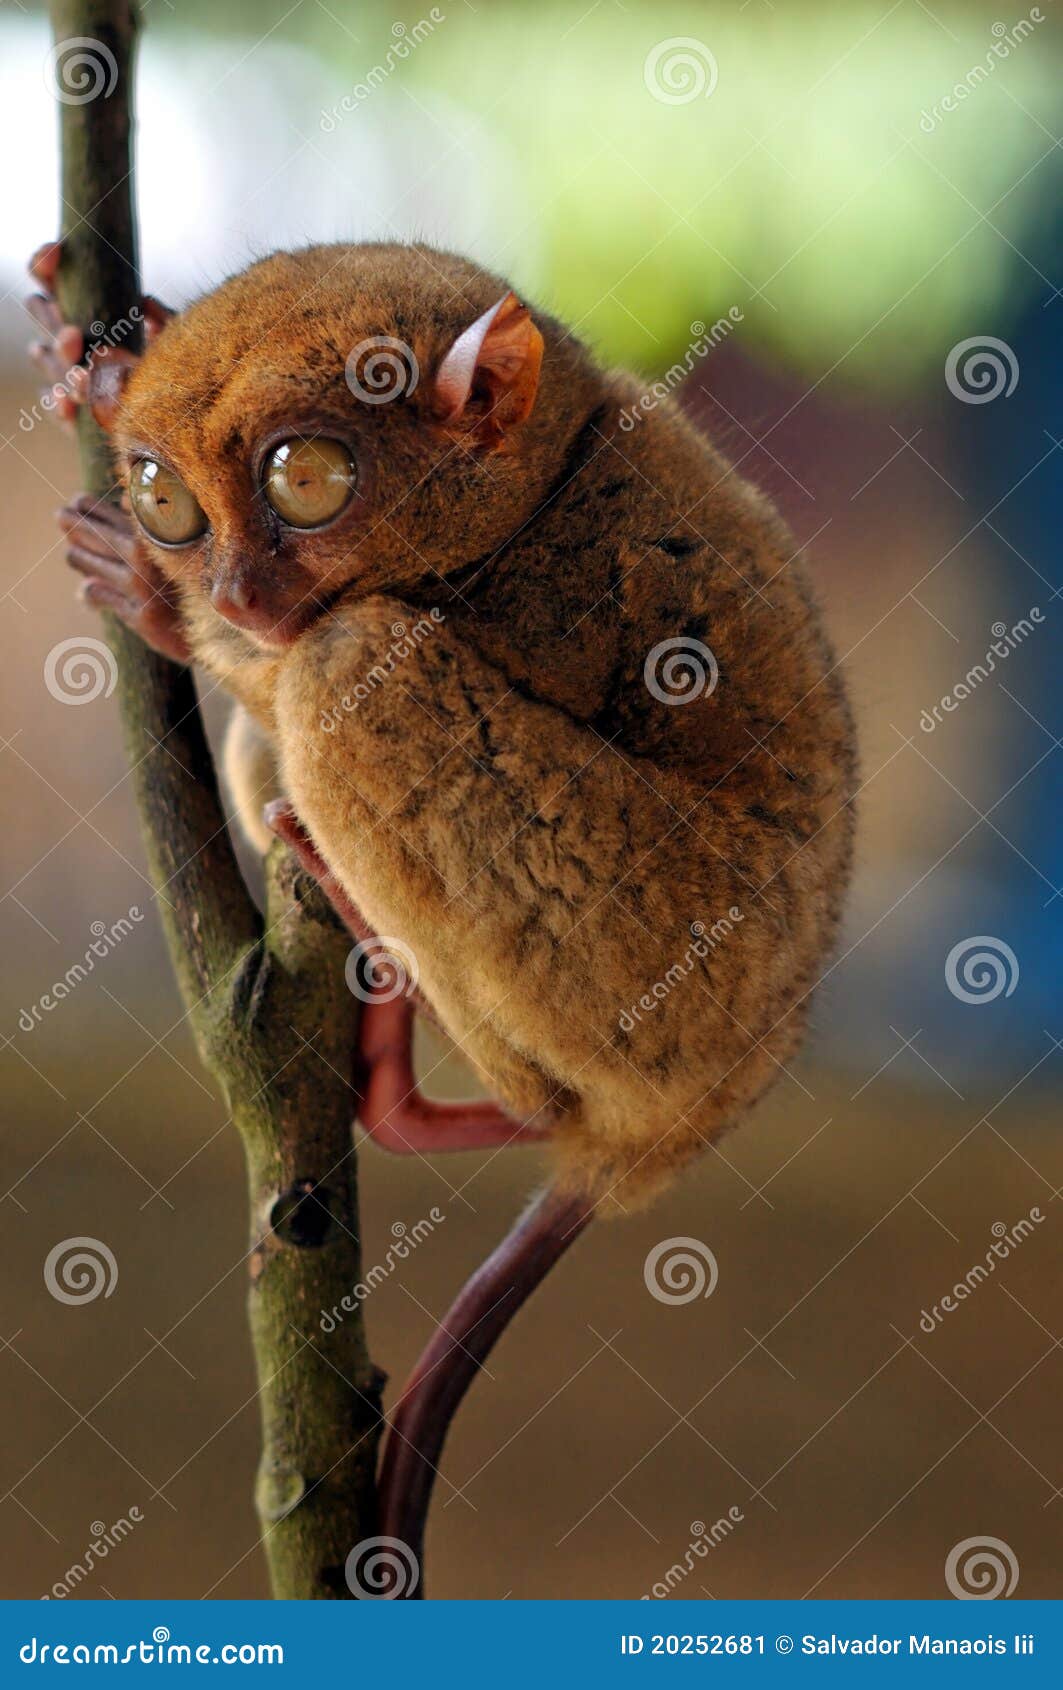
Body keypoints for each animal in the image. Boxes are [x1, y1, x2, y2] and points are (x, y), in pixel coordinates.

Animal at [27, 238, 856, 1582]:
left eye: (307, 479)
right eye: (167, 499)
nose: (235, 593)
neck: (550, 465)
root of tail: (681, 1131)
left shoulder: (552, 597)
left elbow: (306, 657)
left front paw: (149, 597)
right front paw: (82, 339)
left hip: (649, 952)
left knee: (340, 663)